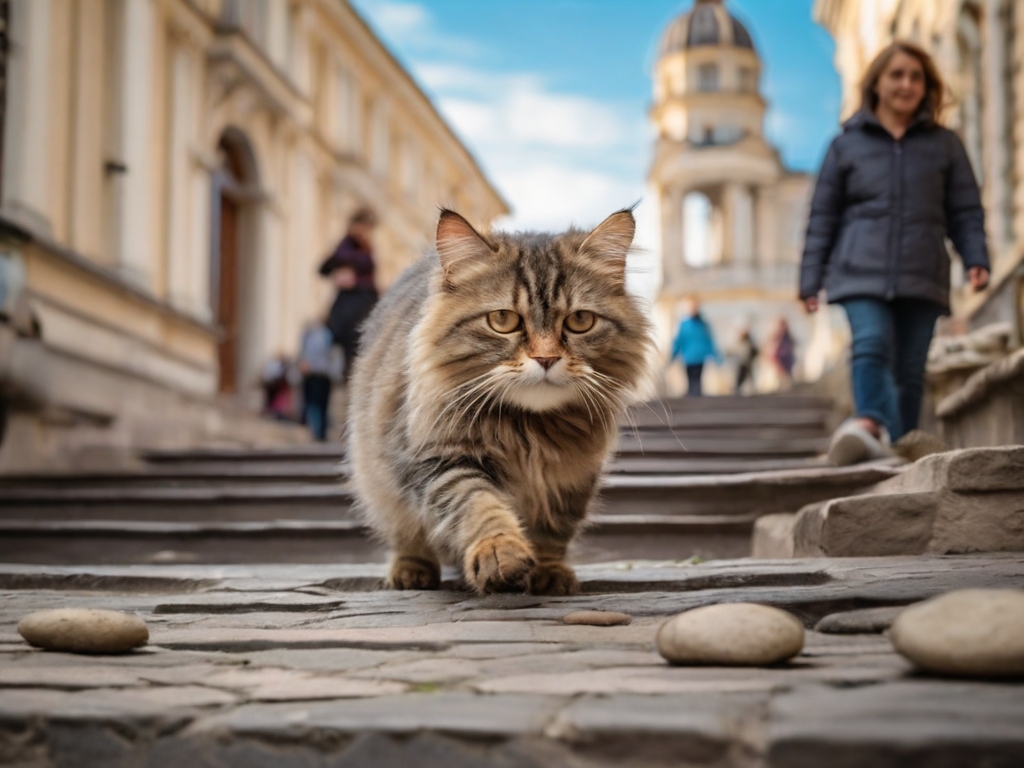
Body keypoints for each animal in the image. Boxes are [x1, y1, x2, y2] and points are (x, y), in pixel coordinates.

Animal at [350, 207, 655, 598]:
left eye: (580, 321)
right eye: (503, 320)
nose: (546, 358)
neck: (530, 430)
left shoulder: (571, 478)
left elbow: (552, 533)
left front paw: (548, 572)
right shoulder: (438, 458)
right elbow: (479, 504)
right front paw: (500, 553)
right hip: (379, 483)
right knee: (407, 538)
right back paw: (411, 571)